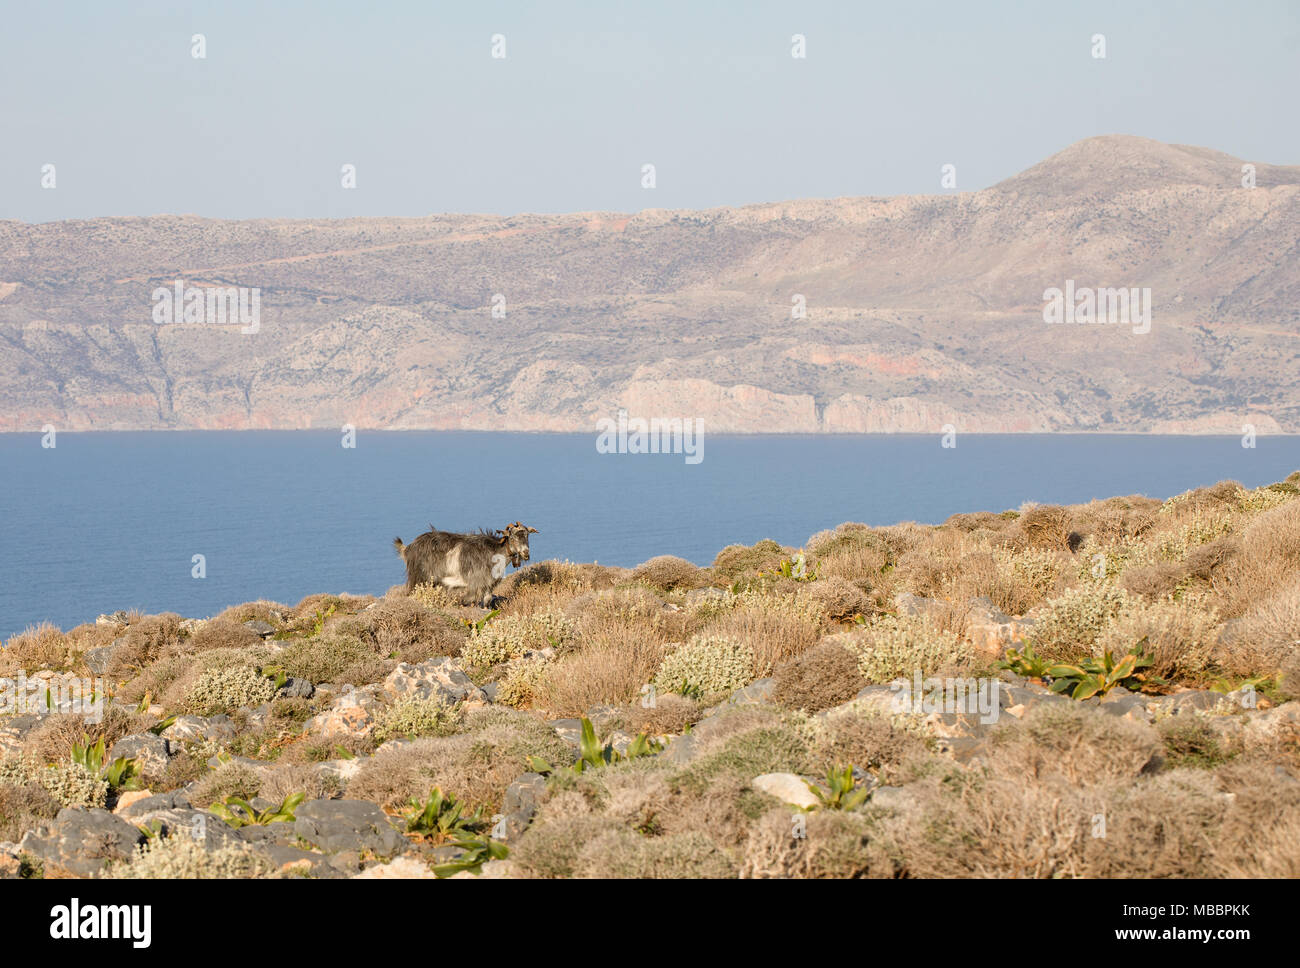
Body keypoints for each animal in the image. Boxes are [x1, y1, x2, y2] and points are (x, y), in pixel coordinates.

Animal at [393, 521, 538, 607]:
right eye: (512, 537)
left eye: (527, 535)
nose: (526, 553)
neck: (494, 552)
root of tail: (408, 548)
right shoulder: (474, 585)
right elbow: (469, 601)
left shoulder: (487, 586)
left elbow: (486, 602)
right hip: (419, 579)